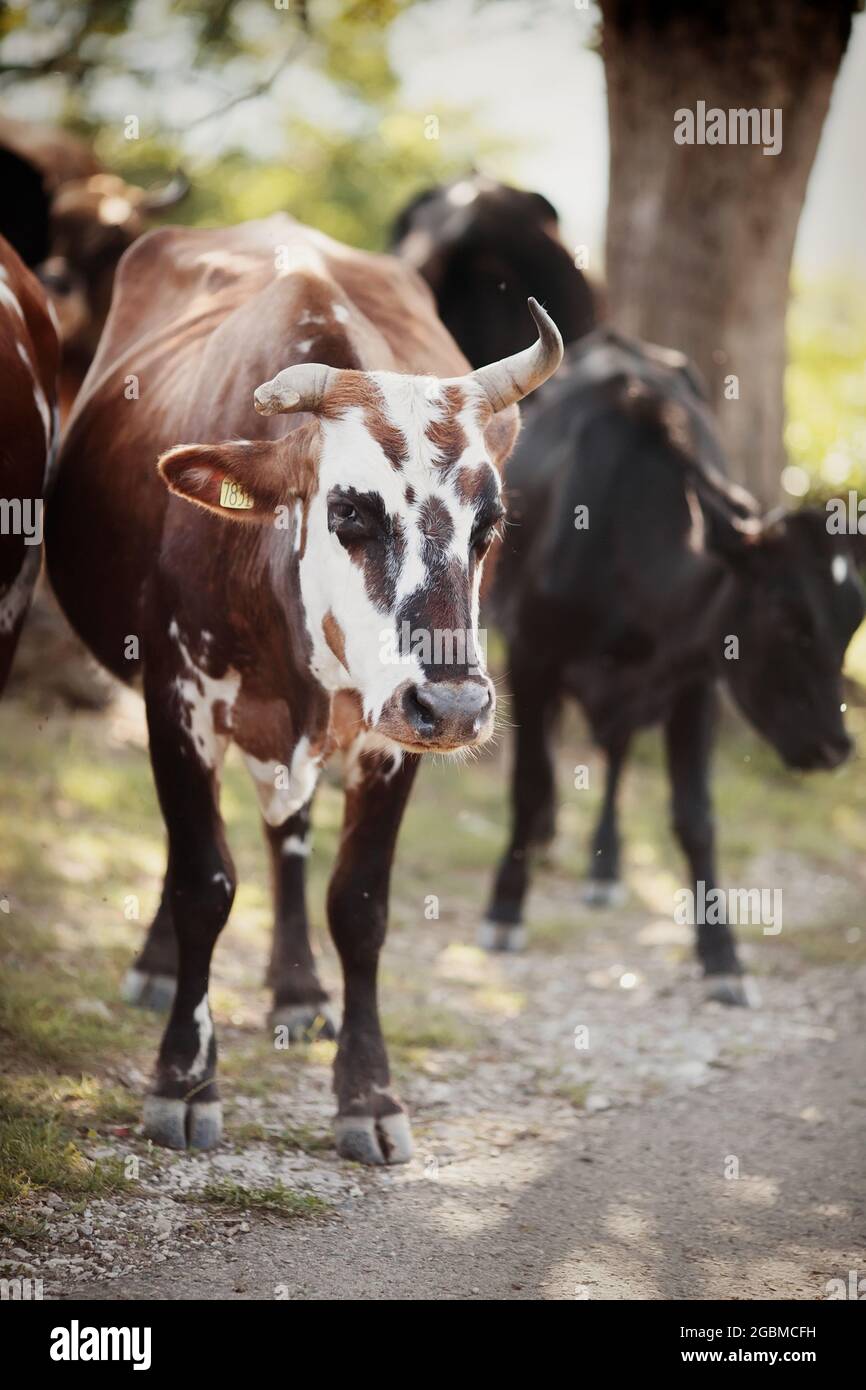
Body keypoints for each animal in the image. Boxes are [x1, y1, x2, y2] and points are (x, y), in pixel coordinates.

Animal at [46, 214, 562, 1161]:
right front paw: (183, 1079)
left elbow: (357, 904)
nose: (457, 706)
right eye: (350, 512)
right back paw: (159, 966)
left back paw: (297, 989)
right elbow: (202, 882)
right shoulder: (175, 701)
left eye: (491, 524)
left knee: (288, 836)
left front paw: (369, 1094)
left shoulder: (389, 739)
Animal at [482, 328, 864, 1005]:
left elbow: (696, 817)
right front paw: (506, 907)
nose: (836, 747)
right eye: (786, 615)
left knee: (615, 752)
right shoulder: (530, 655)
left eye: (854, 622)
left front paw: (722, 955)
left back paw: (606, 865)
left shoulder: (700, 679)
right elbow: (527, 784)